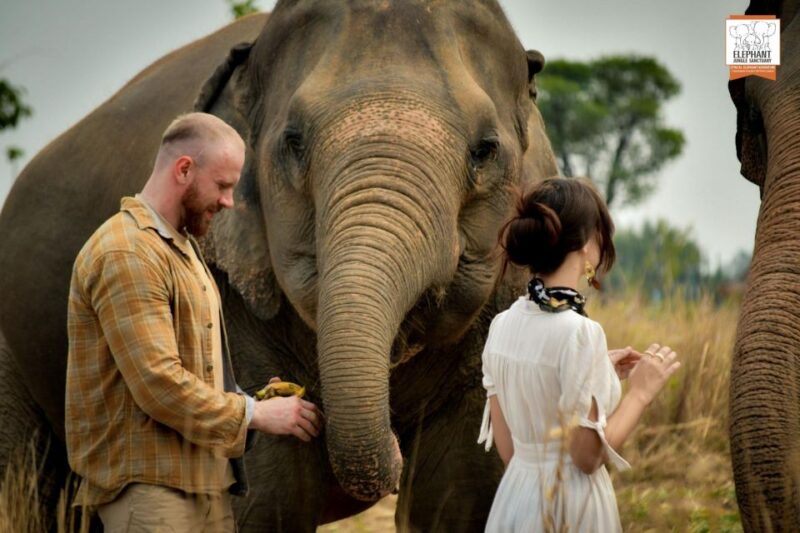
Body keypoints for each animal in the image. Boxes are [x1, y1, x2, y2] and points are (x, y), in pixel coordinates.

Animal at [0, 1, 558, 531]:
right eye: (293, 143)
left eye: (484, 150)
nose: (398, 448)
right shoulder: (232, 290)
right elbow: (269, 499)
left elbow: (461, 494)